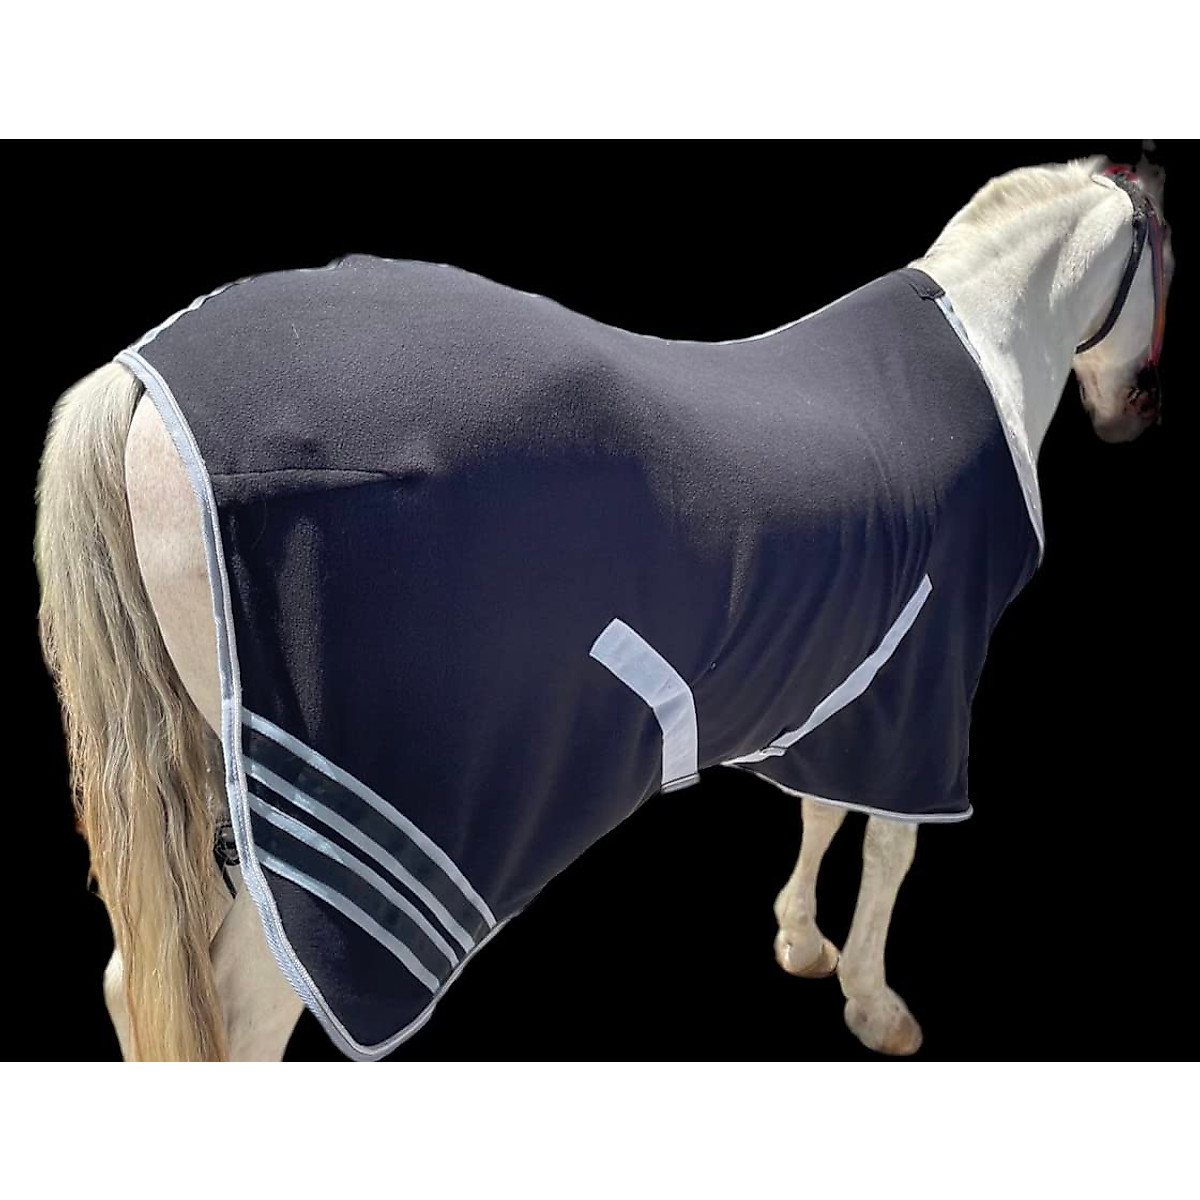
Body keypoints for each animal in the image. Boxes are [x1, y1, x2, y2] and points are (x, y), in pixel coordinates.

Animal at [35, 153, 1172, 1061]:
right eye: (1166, 265)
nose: (1132, 415)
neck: (981, 343)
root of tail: (143, 383)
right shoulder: (925, 686)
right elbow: (891, 845)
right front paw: (874, 1005)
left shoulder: (847, 681)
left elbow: (819, 810)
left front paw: (802, 942)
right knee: (242, 1012)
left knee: (143, 986)